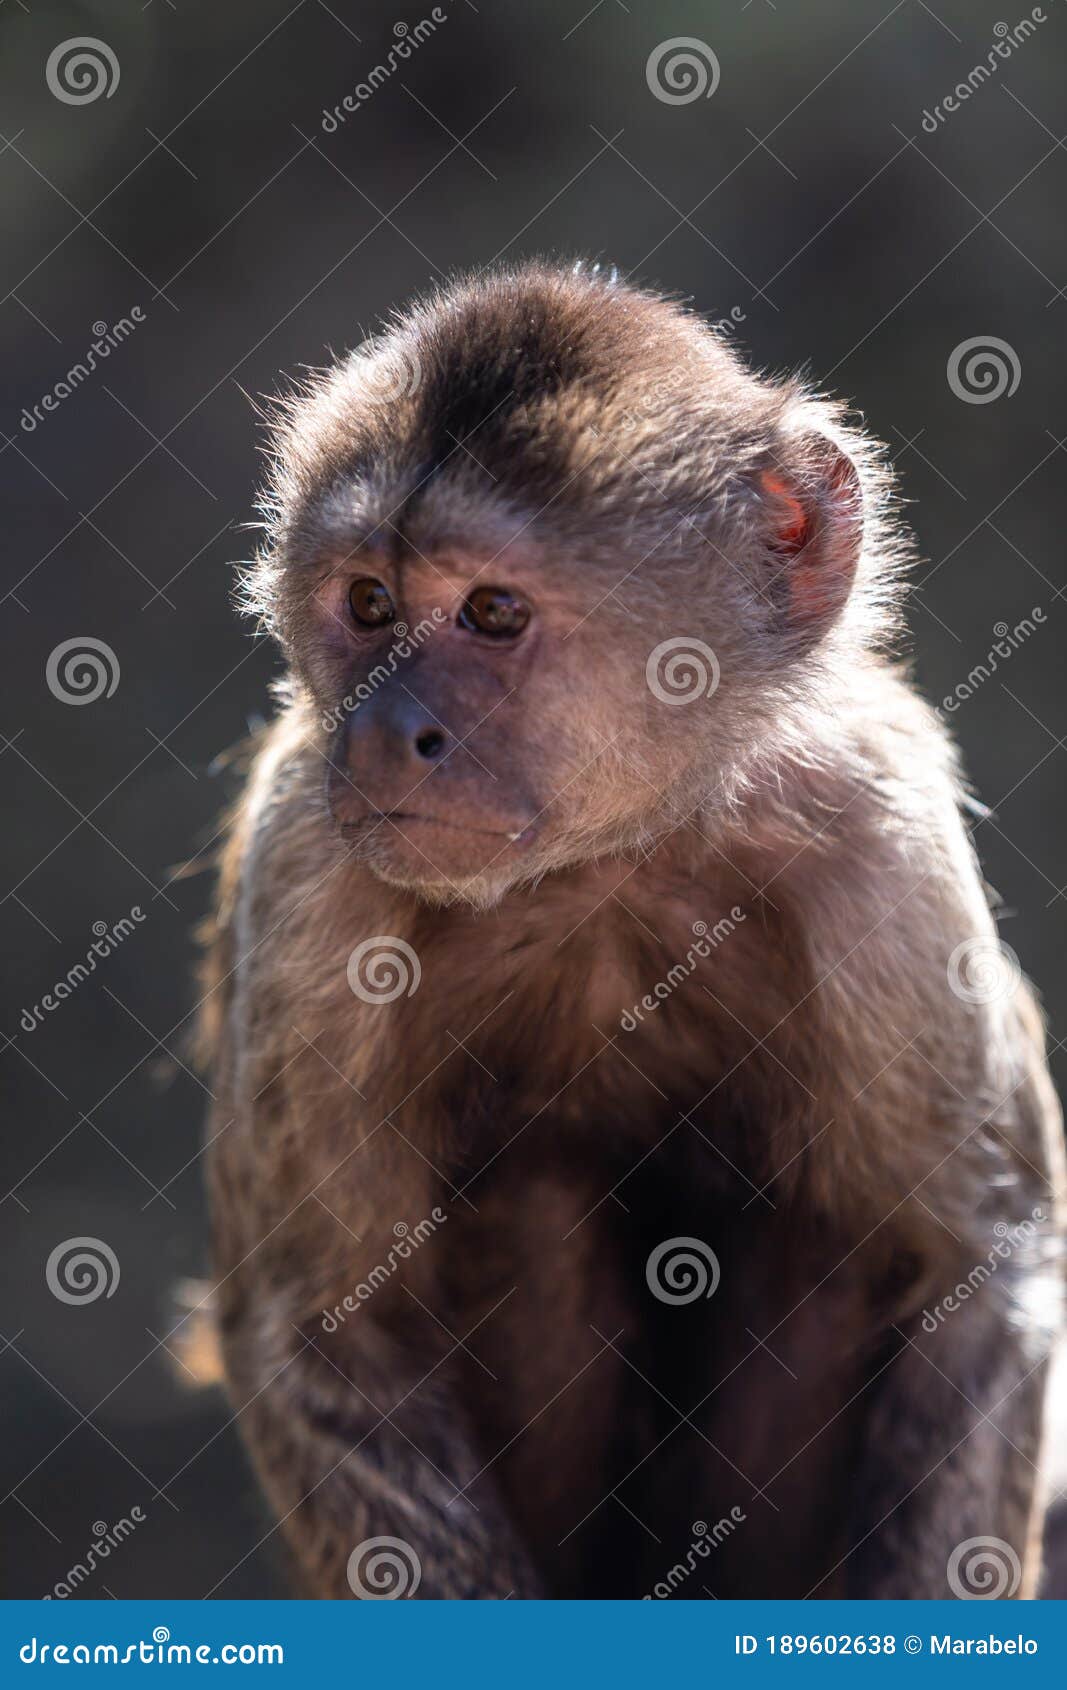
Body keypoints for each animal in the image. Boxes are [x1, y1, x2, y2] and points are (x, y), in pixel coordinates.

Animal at [198, 260, 1065, 1600]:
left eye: (492, 613)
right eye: (369, 603)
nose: (387, 731)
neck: (611, 860)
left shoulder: (879, 835)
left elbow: (979, 1277)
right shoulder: (309, 865)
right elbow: (325, 1330)